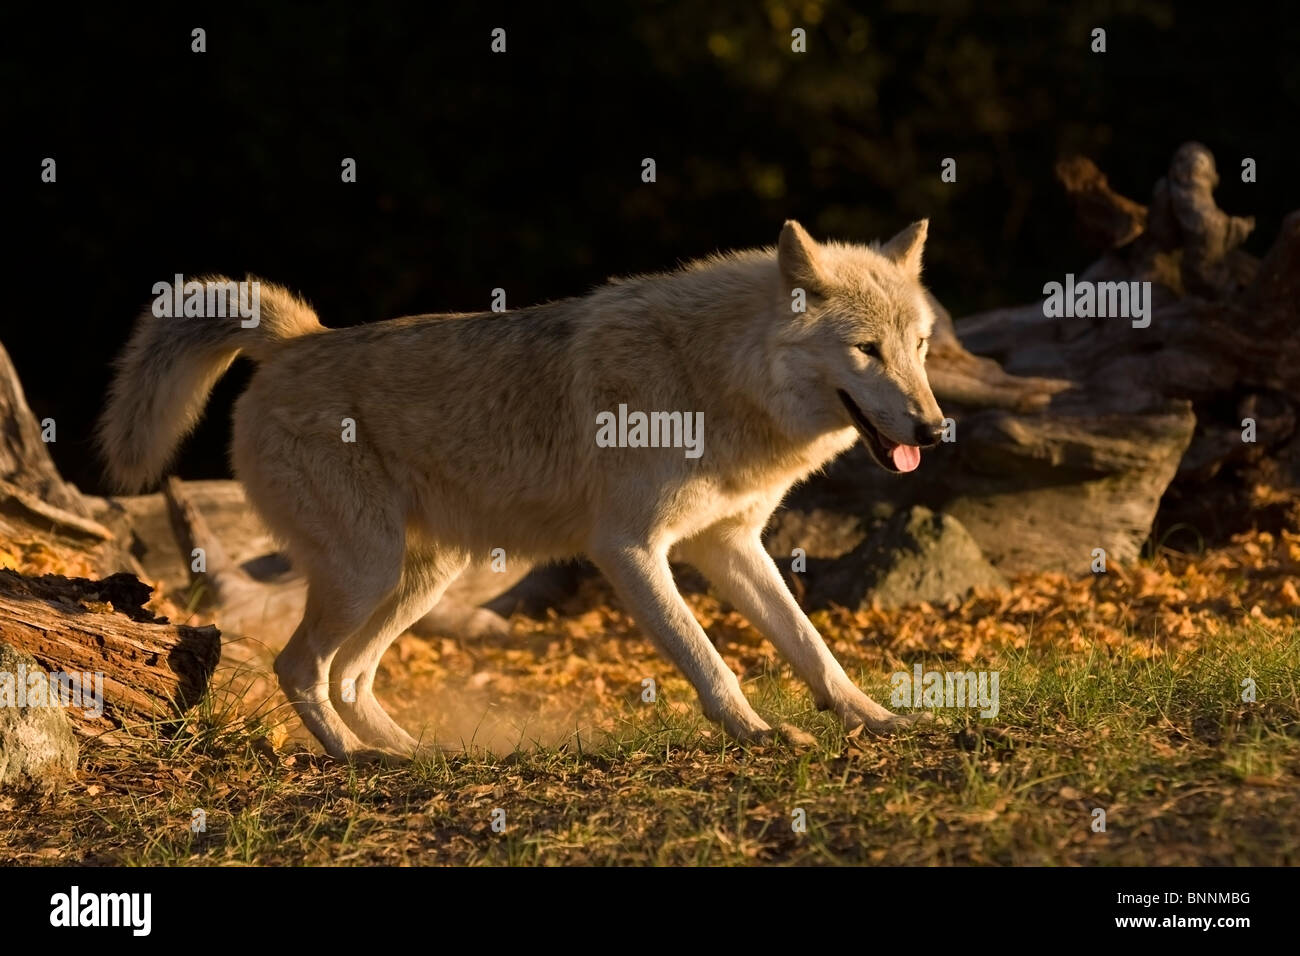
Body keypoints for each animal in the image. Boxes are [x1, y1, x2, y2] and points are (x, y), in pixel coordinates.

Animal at [99, 219, 946, 760]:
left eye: (920, 346)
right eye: (867, 350)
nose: (935, 429)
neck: (707, 375)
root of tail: (297, 340)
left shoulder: (730, 544)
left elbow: (813, 647)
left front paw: (872, 718)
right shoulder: (629, 549)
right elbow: (710, 658)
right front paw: (759, 735)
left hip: (421, 578)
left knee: (349, 675)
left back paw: (416, 752)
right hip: (368, 572)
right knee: (300, 668)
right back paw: (356, 759)